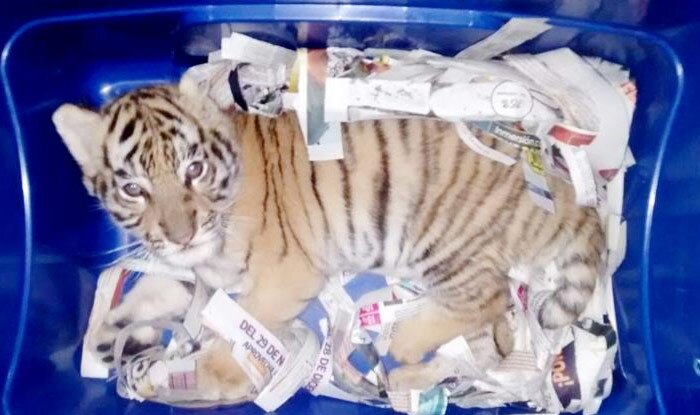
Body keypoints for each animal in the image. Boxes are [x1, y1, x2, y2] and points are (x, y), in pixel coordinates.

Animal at [51, 74, 605, 401]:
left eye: (194, 169)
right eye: (133, 189)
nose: (182, 235)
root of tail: (567, 191)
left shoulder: (282, 276)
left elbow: (239, 338)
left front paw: (196, 375)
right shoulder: (198, 275)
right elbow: (145, 297)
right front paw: (111, 342)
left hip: (441, 241)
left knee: (485, 298)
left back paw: (403, 343)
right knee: (491, 346)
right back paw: (412, 379)